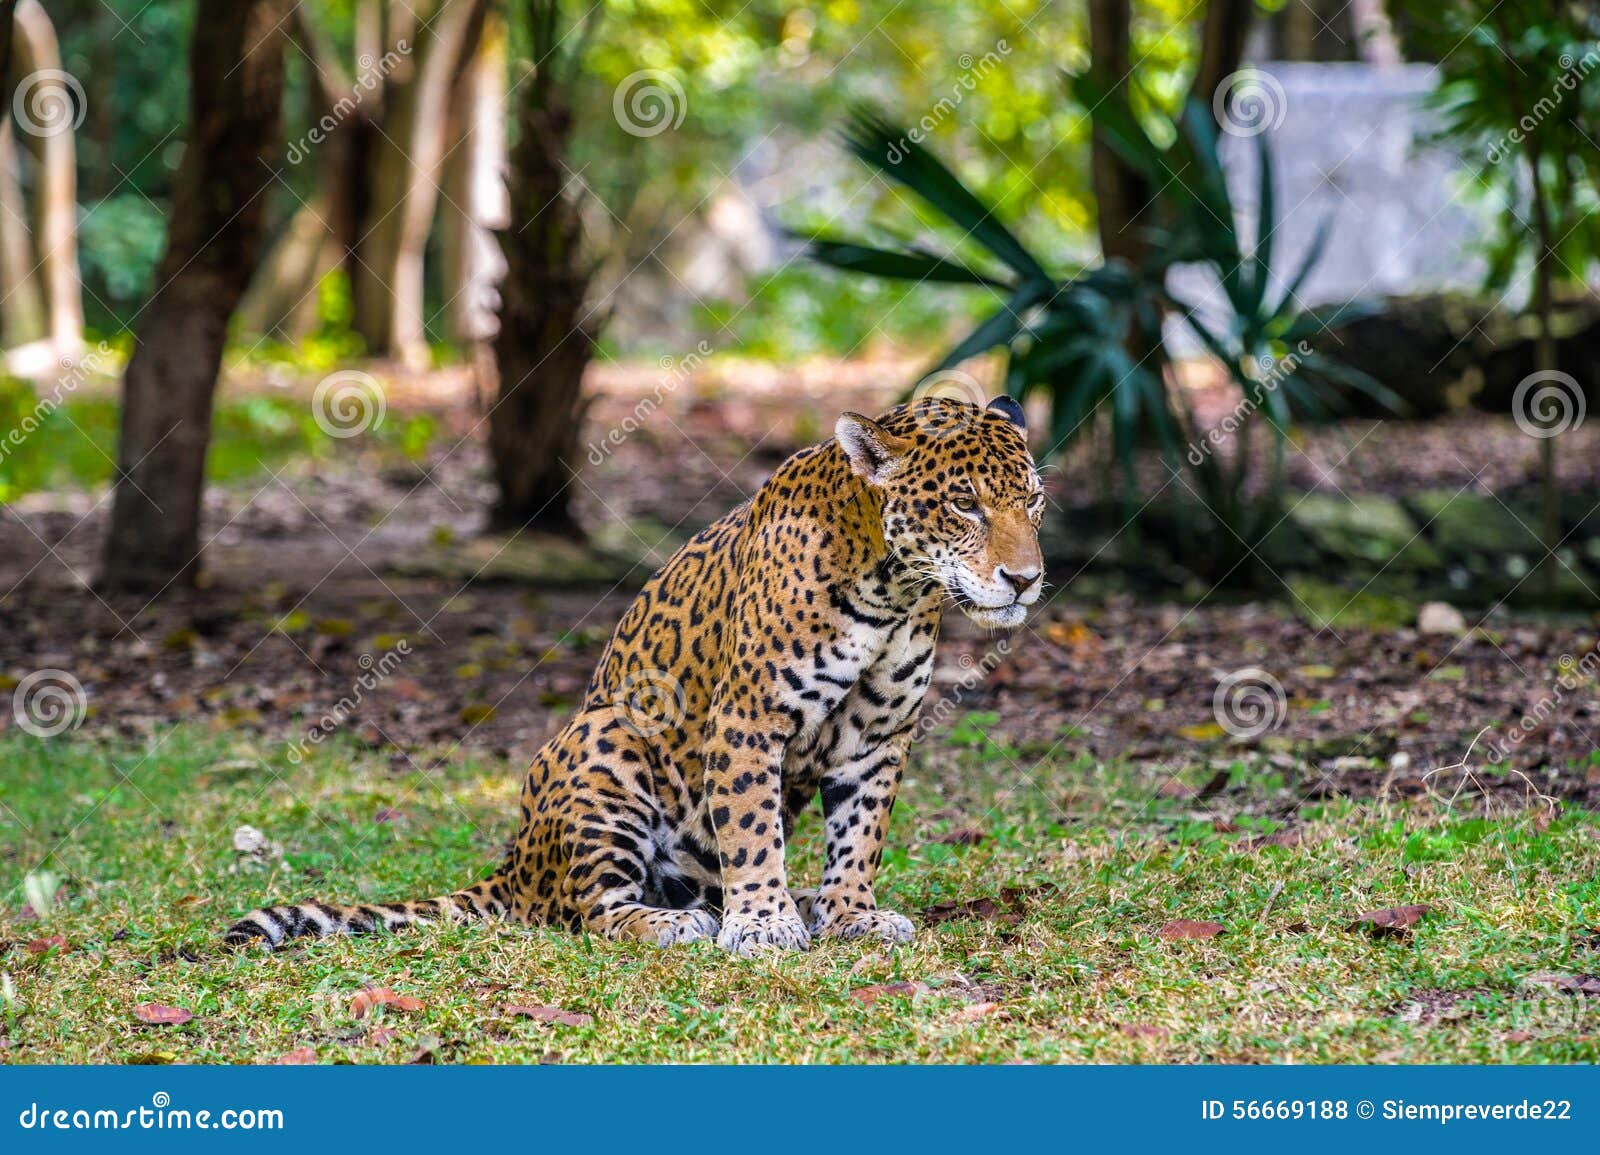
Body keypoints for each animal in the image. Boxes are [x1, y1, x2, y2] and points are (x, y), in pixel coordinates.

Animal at [225, 395, 1045, 956]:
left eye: (1033, 501)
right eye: (964, 504)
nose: (1027, 579)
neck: (891, 593)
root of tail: (514, 862)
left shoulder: (879, 739)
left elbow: (860, 835)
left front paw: (851, 913)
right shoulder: (747, 720)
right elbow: (752, 829)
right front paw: (762, 924)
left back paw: (797, 901)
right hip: (603, 742)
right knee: (588, 910)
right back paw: (683, 920)